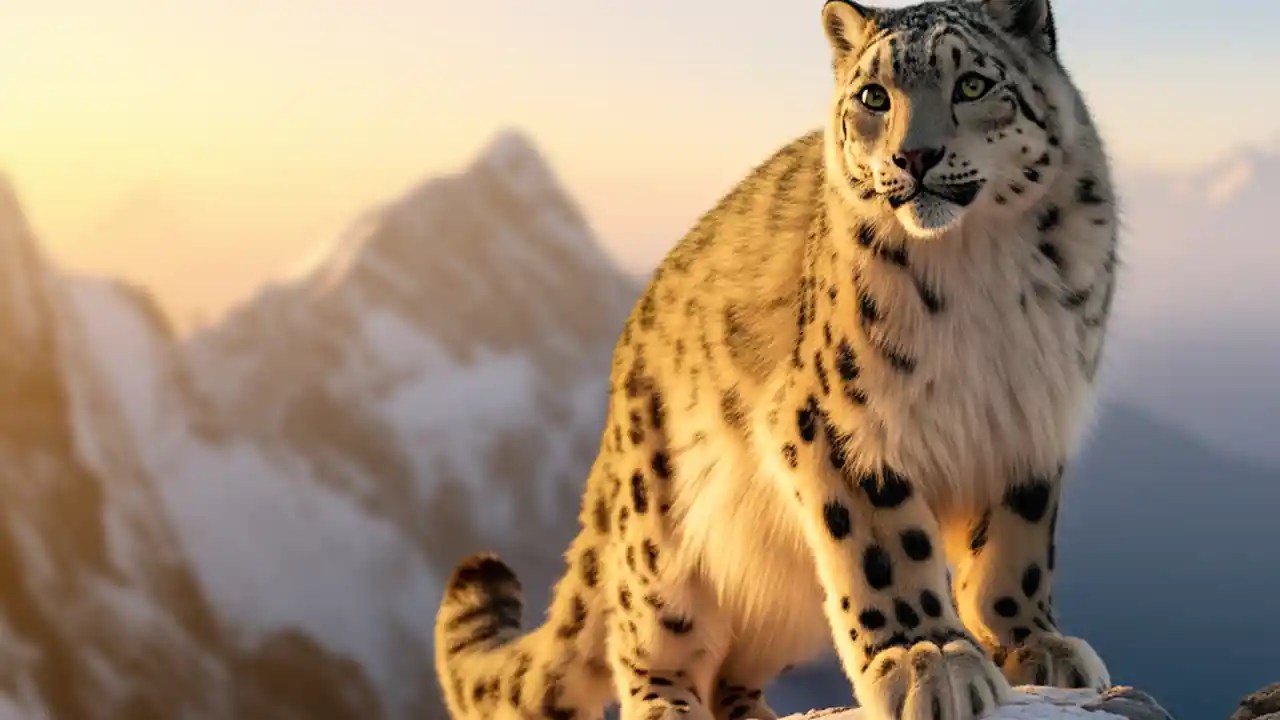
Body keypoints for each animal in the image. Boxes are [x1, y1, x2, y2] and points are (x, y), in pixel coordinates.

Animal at [434, 1, 1117, 718]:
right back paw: (668, 702)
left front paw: (1034, 644)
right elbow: (886, 546)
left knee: (733, 668)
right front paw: (926, 656)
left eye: (974, 85)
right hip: (662, 540)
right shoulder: (843, 421)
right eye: (873, 96)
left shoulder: (1026, 420)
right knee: (646, 639)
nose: (914, 156)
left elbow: (1015, 549)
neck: (981, 269)